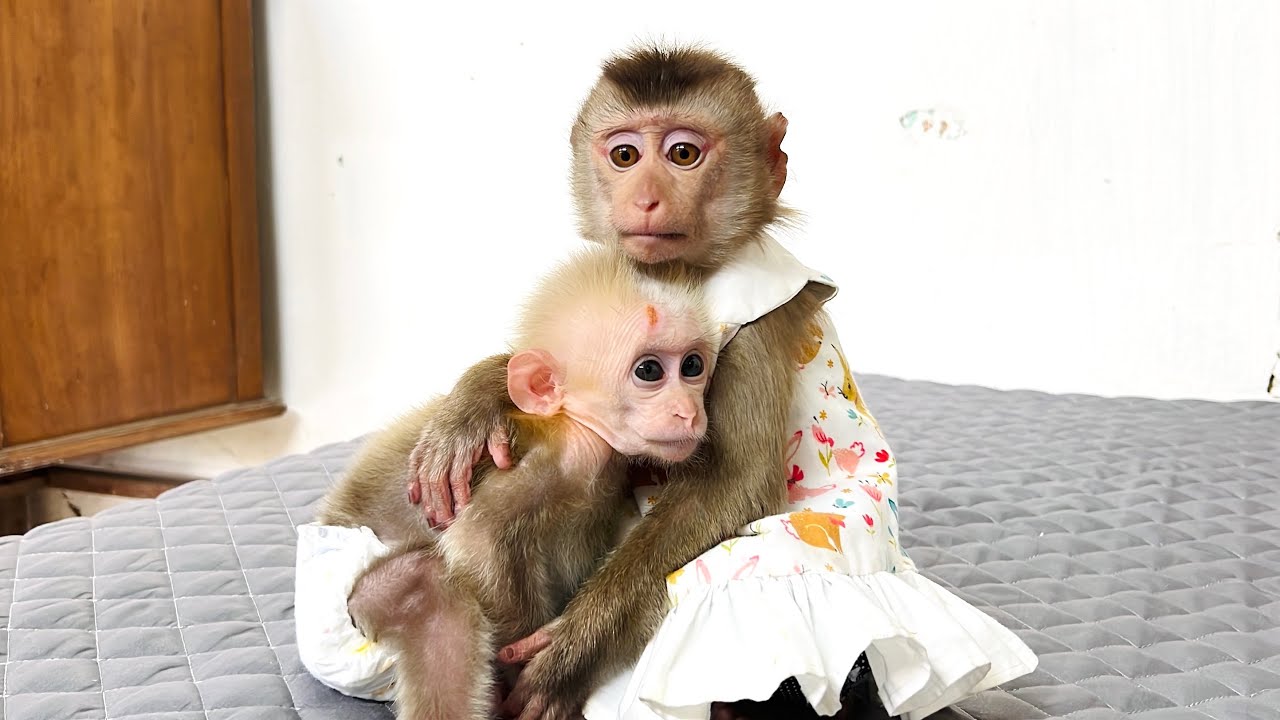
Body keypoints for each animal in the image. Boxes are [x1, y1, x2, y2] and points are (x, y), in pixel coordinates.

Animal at [309, 246, 721, 720]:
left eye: (693, 366)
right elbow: (478, 539)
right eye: (649, 371)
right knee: (428, 590)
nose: (688, 411)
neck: (579, 429)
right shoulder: (545, 465)